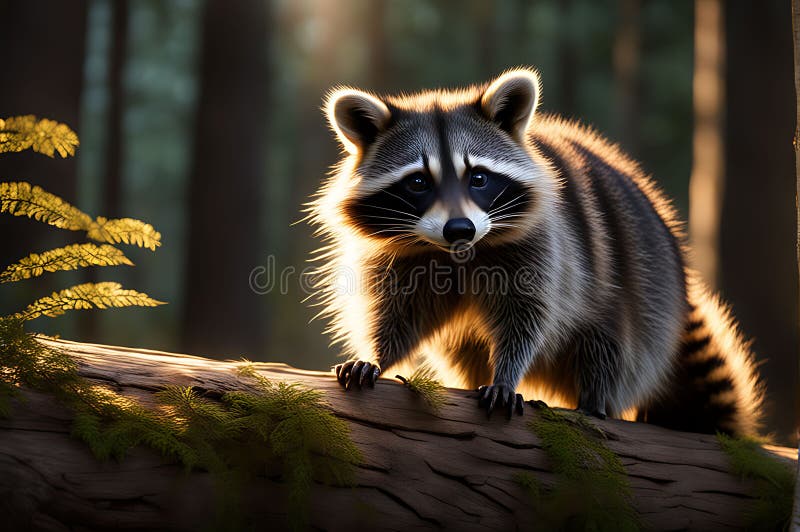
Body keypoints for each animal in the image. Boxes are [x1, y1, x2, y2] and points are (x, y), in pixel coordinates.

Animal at [308, 68, 763, 436]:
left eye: (478, 178)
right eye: (418, 182)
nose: (460, 228)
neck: (457, 252)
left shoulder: (549, 247)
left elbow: (527, 316)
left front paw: (507, 374)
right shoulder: (401, 257)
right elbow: (398, 315)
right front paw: (376, 355)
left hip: (641, 284)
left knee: (613, 343)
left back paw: (594, 398)